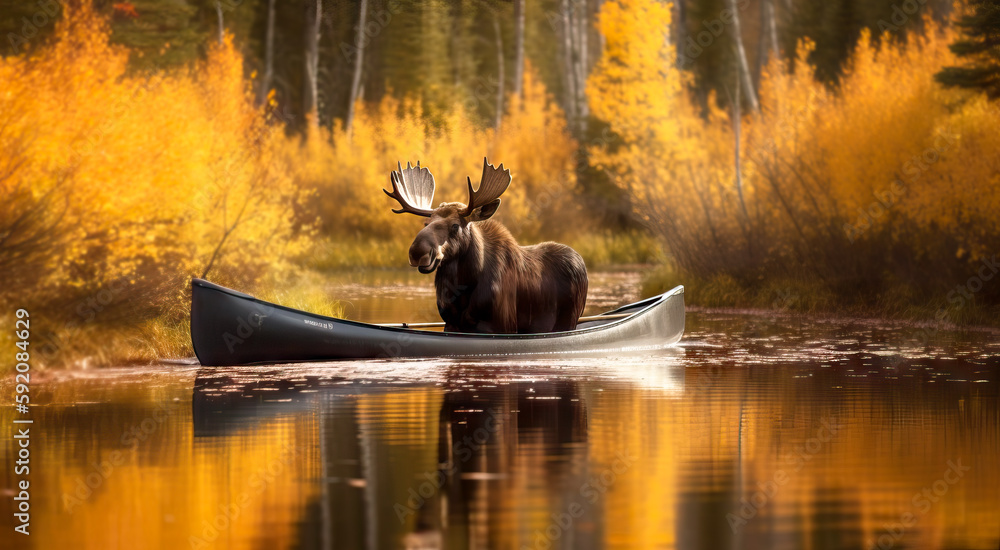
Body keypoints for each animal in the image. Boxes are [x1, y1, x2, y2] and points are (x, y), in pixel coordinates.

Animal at [384, 158, 588, 334]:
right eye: (426, 223)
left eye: (455, 225)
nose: (418, 252)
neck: (463, 287)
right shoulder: (450, 324)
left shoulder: (501, 326)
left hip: (568, 319)